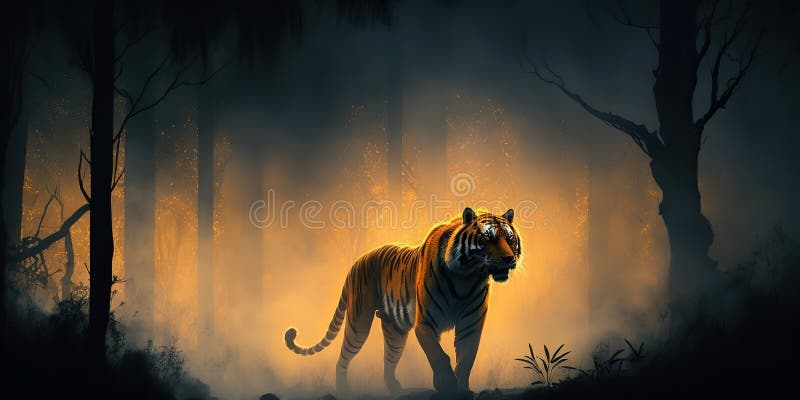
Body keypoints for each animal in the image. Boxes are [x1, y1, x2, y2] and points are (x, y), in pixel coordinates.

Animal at [284, 207, 522, 396]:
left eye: (510, 239)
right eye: (488, 239)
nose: (509, 259)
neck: (467, 277)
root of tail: (357, 261)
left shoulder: (470, 326)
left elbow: (465, 360)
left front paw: (461, 389)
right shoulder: (424, 323)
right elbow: (438, 356)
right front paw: (446, 385)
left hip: (394, 330)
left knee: (388, 362)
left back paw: (394, 389)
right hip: (358, 322)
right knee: (343, 359)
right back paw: (343, 389)